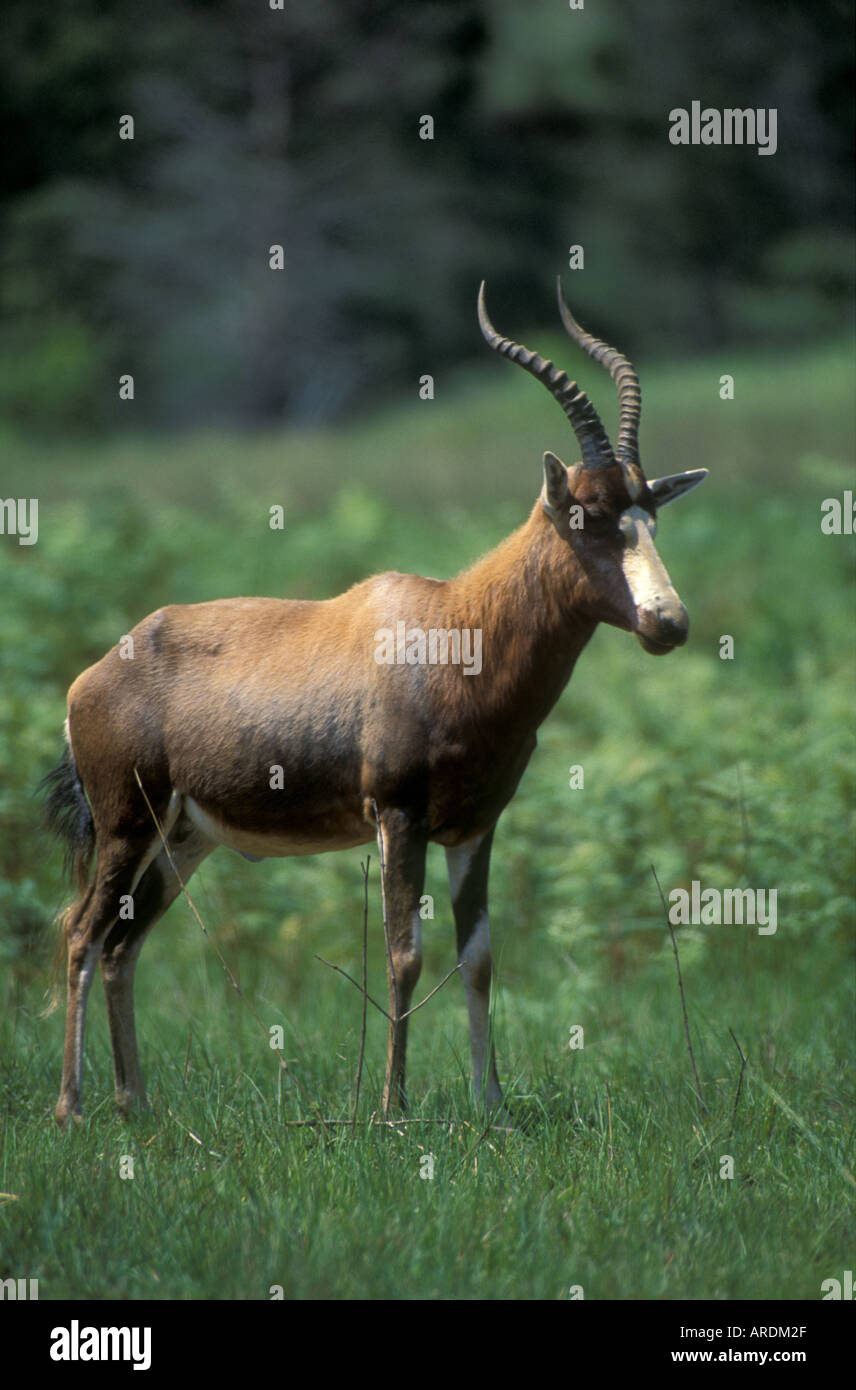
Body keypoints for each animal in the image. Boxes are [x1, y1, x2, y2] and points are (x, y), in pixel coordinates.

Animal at [43, 279, 707, 1128]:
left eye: (649, 511)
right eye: (586, 515)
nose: (668, 623)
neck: (452, 626)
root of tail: (96, 675)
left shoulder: (475, 827)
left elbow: (479, 957)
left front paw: (491, 1103)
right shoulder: (398, 816)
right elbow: (403, 953)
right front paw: (392, 1109)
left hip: (183, 840)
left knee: (123, 945)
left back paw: (136, 1103)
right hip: (127, 825)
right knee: (80, 932)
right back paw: (72, 1107)